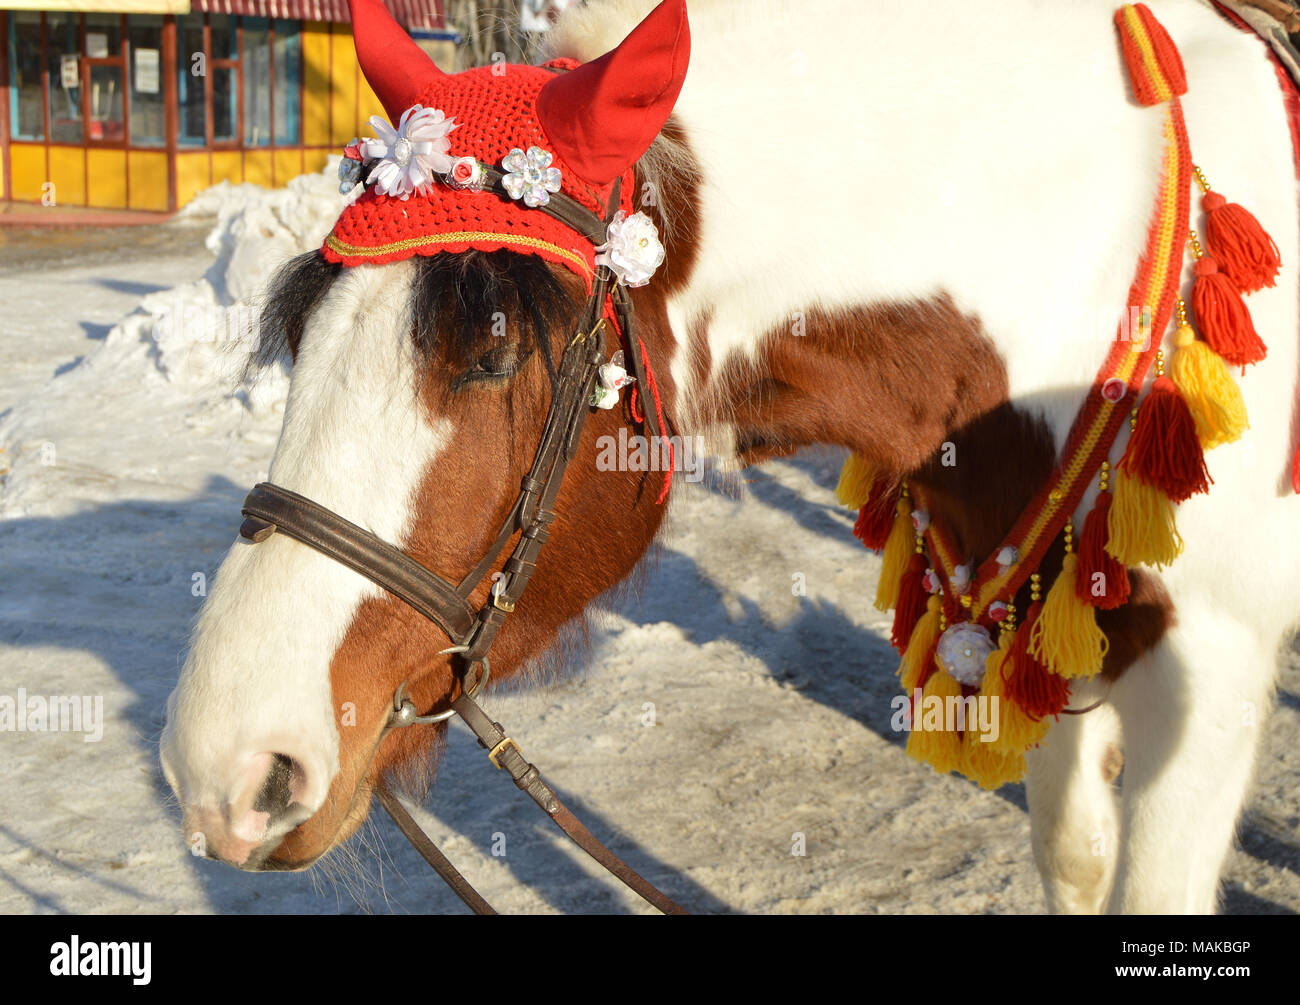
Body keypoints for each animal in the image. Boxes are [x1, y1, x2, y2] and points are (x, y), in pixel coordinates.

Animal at [160, 0, 1300, 913]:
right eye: (303, 326)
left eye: (491, 347)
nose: (224, 768)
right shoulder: (1048, 625)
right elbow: (1074, 853)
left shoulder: (1206, 664)